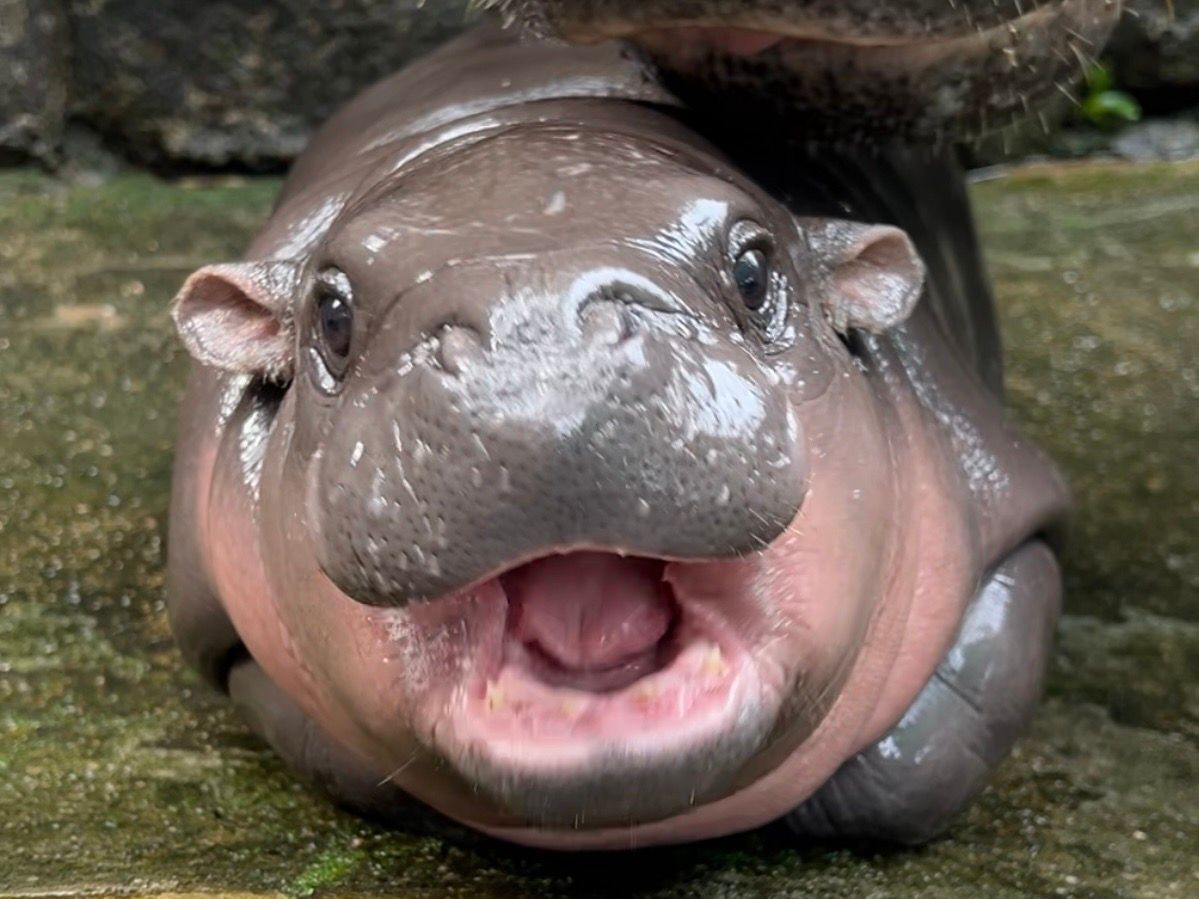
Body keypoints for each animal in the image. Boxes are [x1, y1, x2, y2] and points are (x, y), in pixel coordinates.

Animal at [167, 26, 1070, 849]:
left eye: (753, 270)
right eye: (330, 313)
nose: (539, 356)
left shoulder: (1014, 515)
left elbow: (917, 759)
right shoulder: (221, 632)